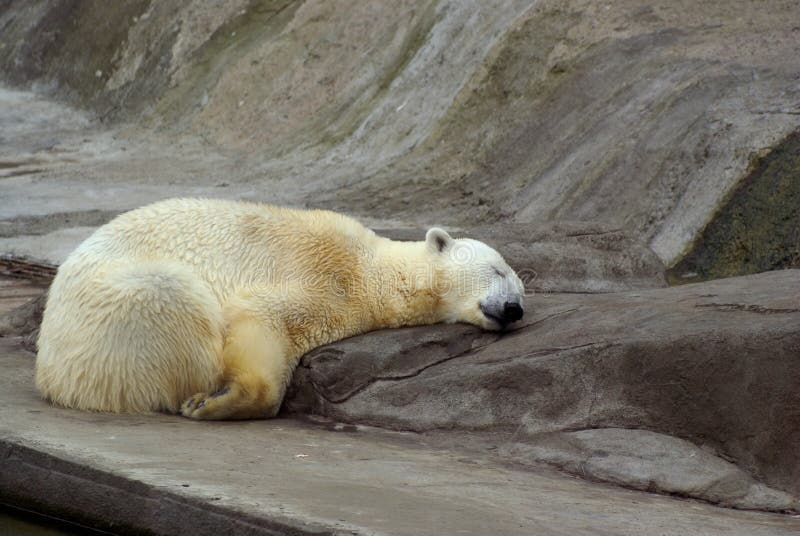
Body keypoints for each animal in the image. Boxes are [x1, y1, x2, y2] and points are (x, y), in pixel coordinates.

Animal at [35, 198, 525, 420]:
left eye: (521, 290)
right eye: (498, 269)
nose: (514, 309)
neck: (374, 270)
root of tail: (53, 374)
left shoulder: (343, 303)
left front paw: (215, 400)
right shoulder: (325, 269)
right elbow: (261, 316)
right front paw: (211, 401)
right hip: (116, 303)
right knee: (170, 293)